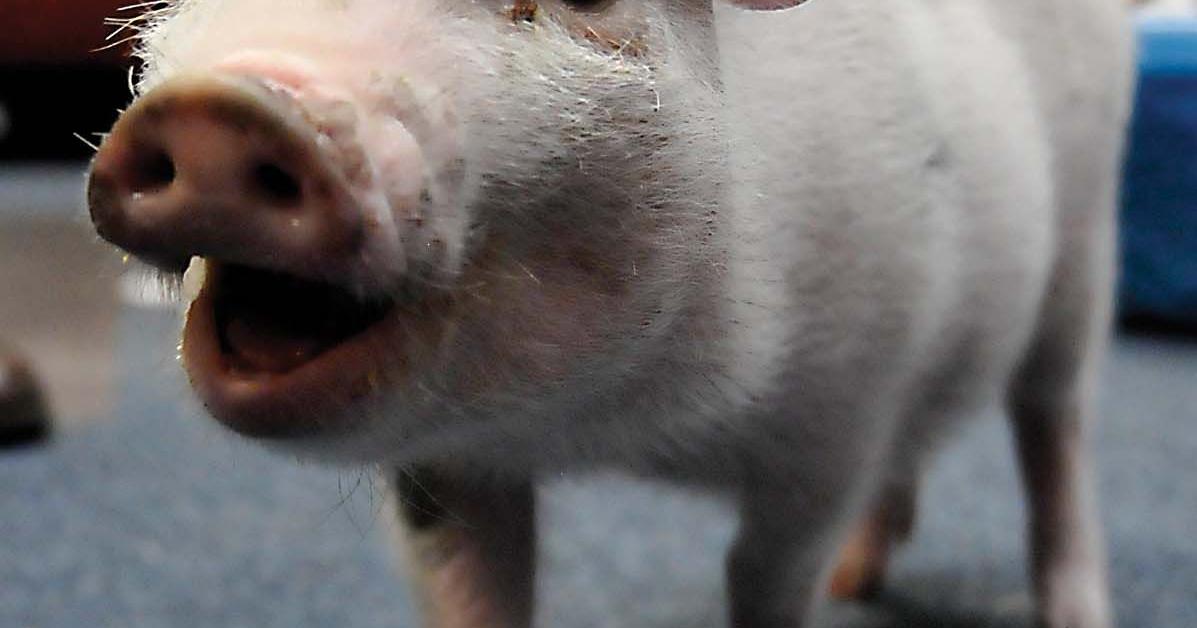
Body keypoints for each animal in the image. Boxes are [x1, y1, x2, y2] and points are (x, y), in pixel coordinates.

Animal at [85, 0, 1134, 626]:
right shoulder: (442, 466)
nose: (223, 111)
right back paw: (859, 584)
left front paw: (804, 587)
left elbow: (763, 575)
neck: (617, 429)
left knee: (1055, 428)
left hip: (1084, 243)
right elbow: (477, 587)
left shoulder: (841, 409)